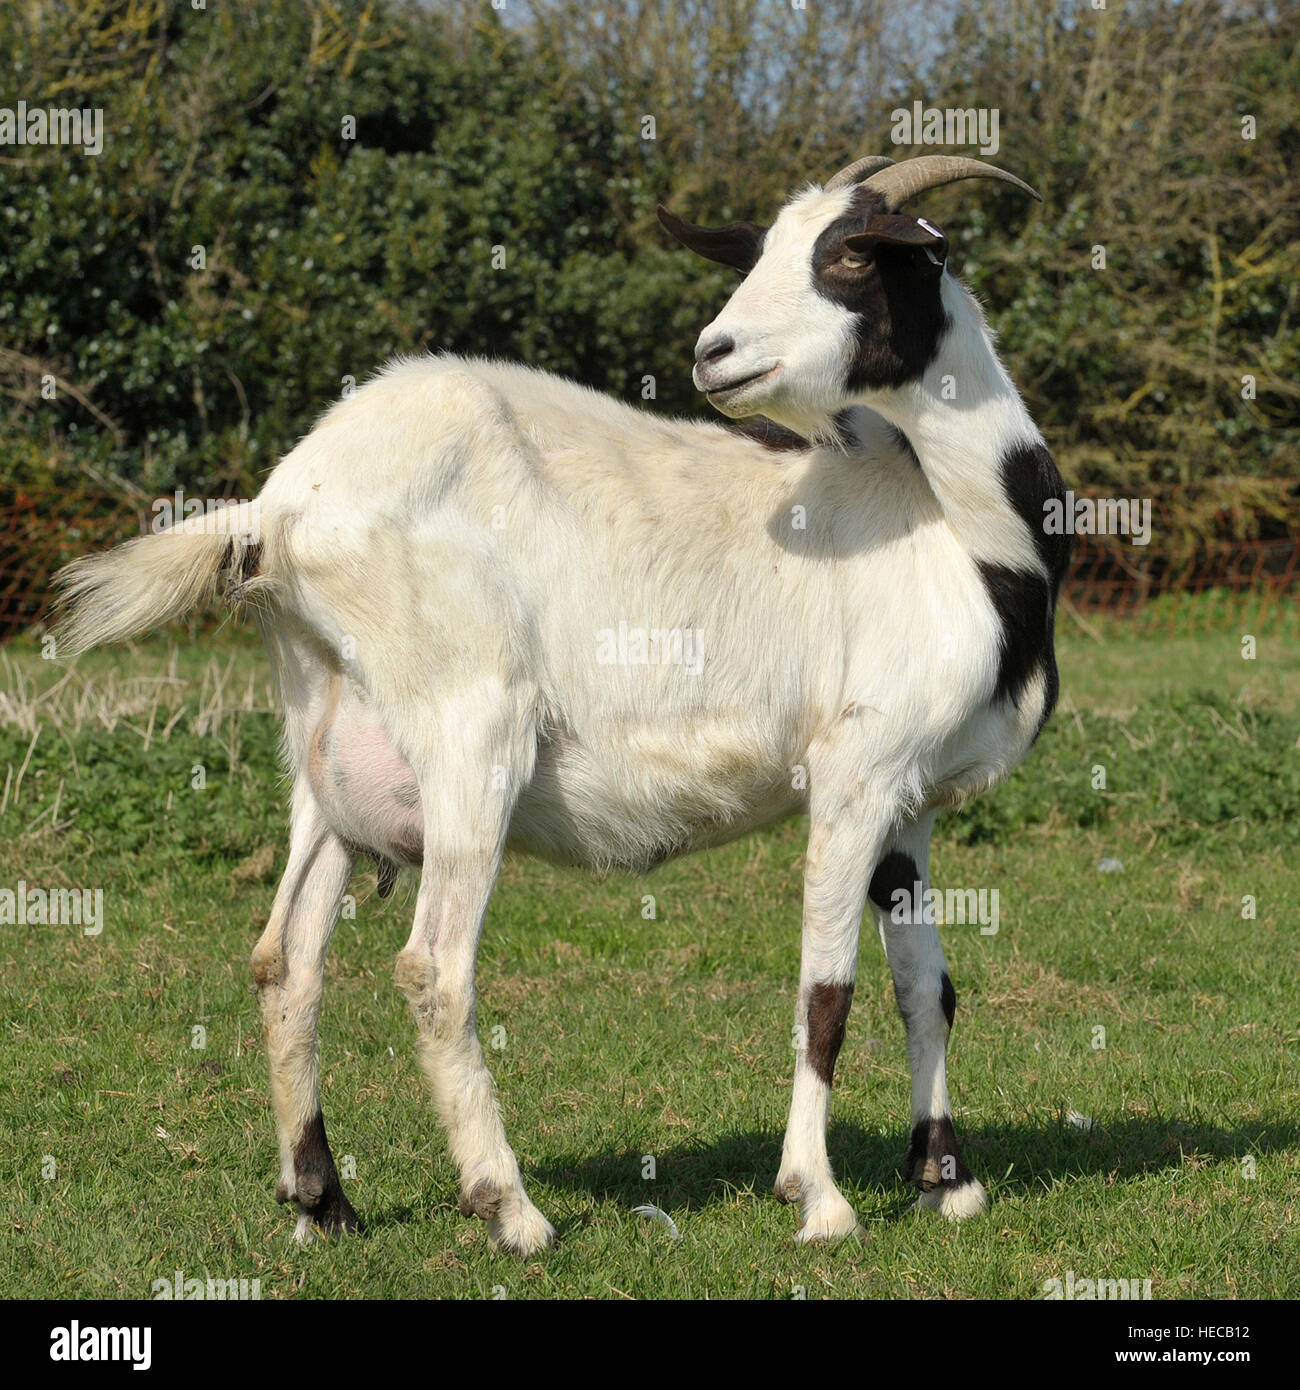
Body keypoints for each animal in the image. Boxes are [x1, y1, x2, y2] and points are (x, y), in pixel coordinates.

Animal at [55, 153, 1068, 1254]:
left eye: (848, 253)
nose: (714, 353)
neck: (960, 533)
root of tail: (278, 509)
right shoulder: (854, 770)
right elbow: (826, 991)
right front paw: (820, 1197)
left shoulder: (909, 800)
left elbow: (926, 988)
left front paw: (946, 1179)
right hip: (470, 729)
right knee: (432, 968)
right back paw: (510, 1209)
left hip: (326, 754)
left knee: (286, 961)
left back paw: (324, 1199)